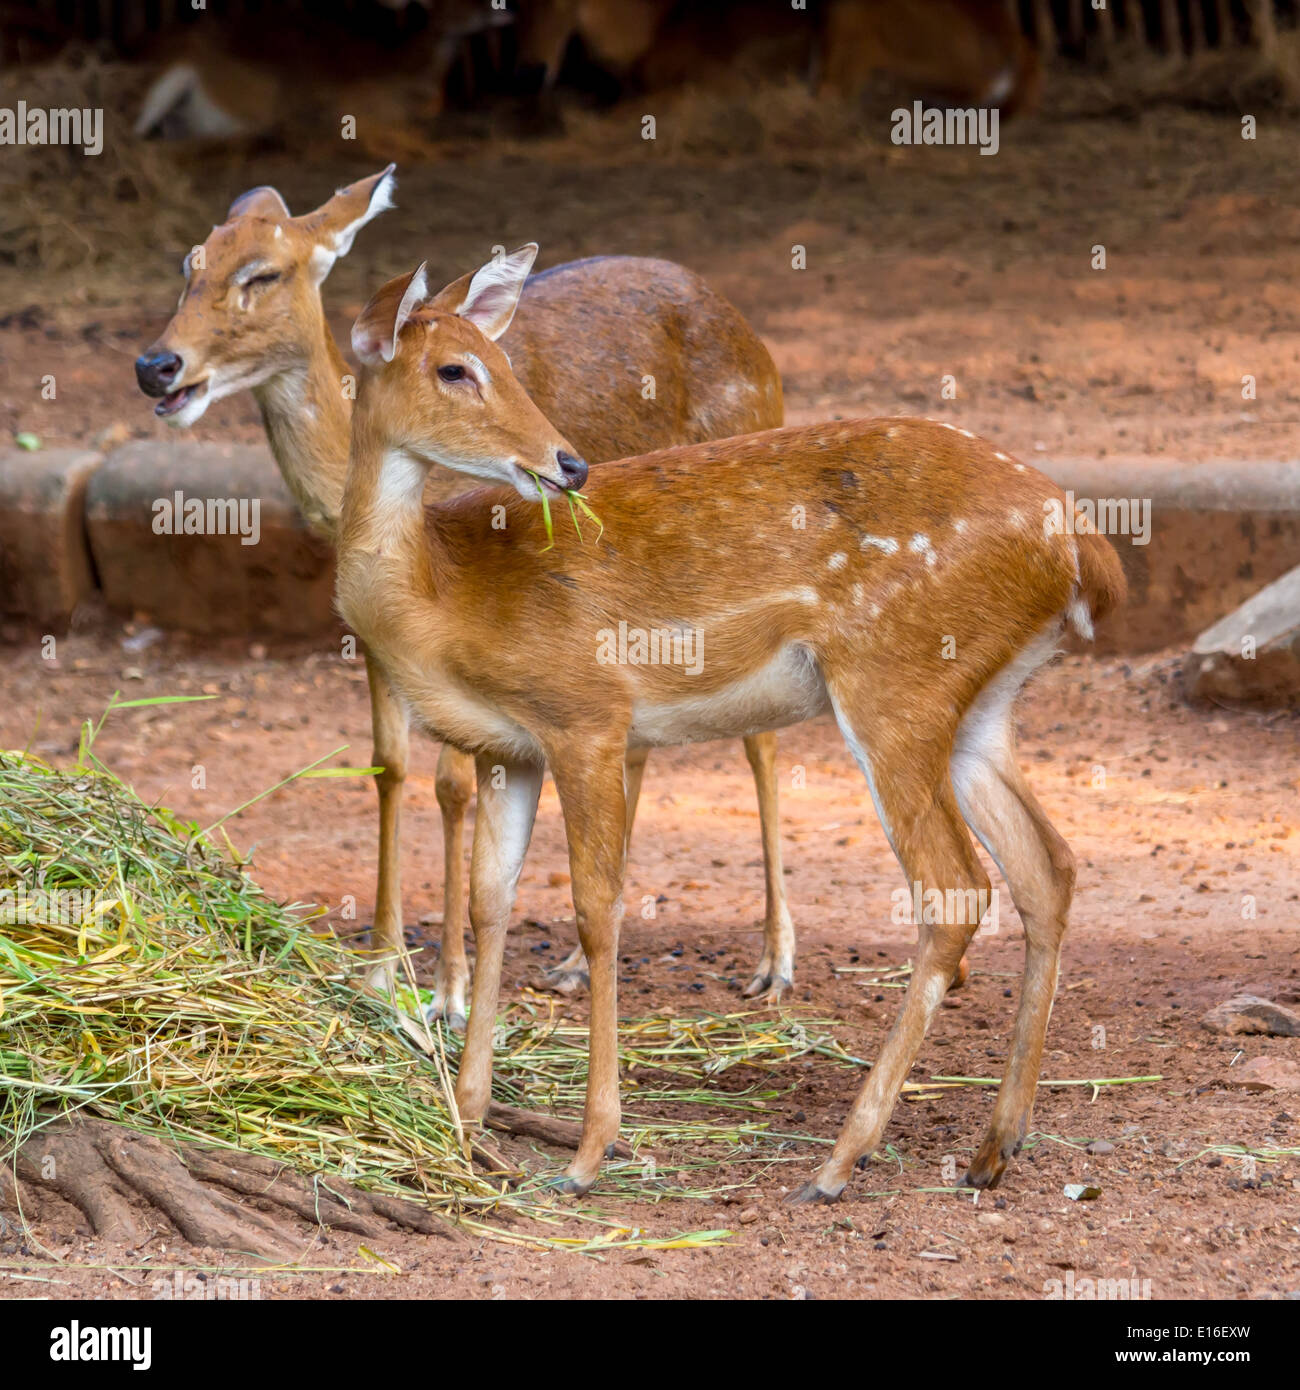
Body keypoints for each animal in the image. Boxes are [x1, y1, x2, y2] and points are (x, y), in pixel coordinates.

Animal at [133, 166, 805, 1030]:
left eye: (264, 273)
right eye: (191, 261)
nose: (157, 365)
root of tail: (750, 332)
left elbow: (452, 785)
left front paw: (448, 992)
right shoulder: (379, 637)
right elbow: (389, 766)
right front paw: (380, 971)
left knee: (761, 738)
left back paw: (775, 961)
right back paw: (571, 964)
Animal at [338, 247, 1125, 1197]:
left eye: (506, 364)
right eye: (455, 368)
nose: (568, 463)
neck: (445, 599)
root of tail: (1081, 545)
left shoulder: (588, 713)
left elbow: (597, 910)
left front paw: (589, 1153)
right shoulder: (509, 748)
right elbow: (495, 901)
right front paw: (468, 1112)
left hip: (896, 679)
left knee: (954, 885)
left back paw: (840, 1159)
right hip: (982, 701)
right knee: (1049, 865)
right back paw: (992, 1147)